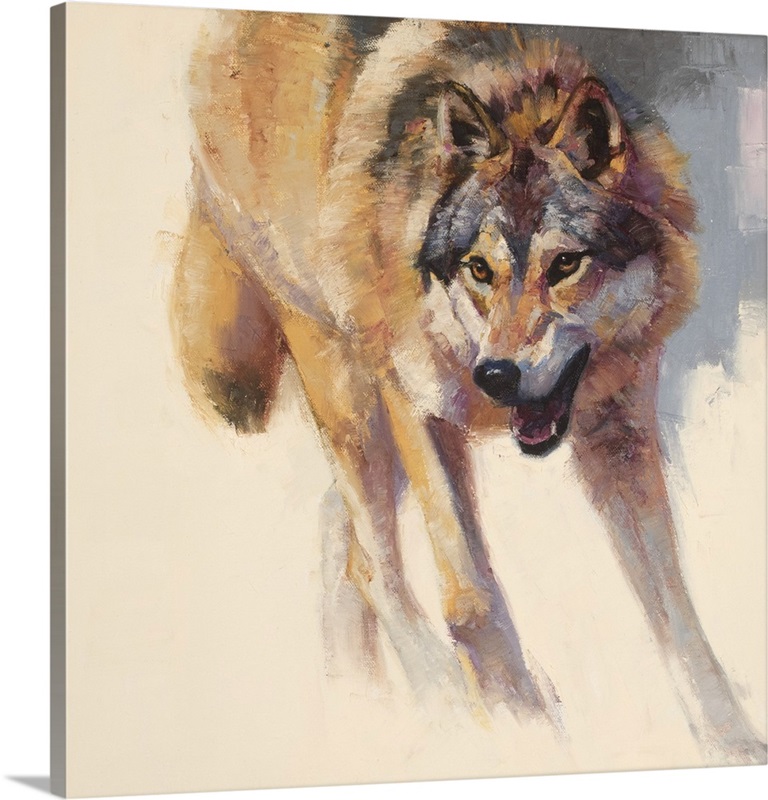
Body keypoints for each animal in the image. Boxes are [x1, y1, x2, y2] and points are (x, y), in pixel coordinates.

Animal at [170, 11, 765, 762]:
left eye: (565, 264)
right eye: (479, 269)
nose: (497, 375)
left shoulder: (619, 430)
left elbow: (675, 608)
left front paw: (730, 743)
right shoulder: (417, 407)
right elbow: (471, 600)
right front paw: (518, 725)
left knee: (346, 548)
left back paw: (364, 700)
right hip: (344, 375)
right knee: (379, 566)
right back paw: (438, 702)